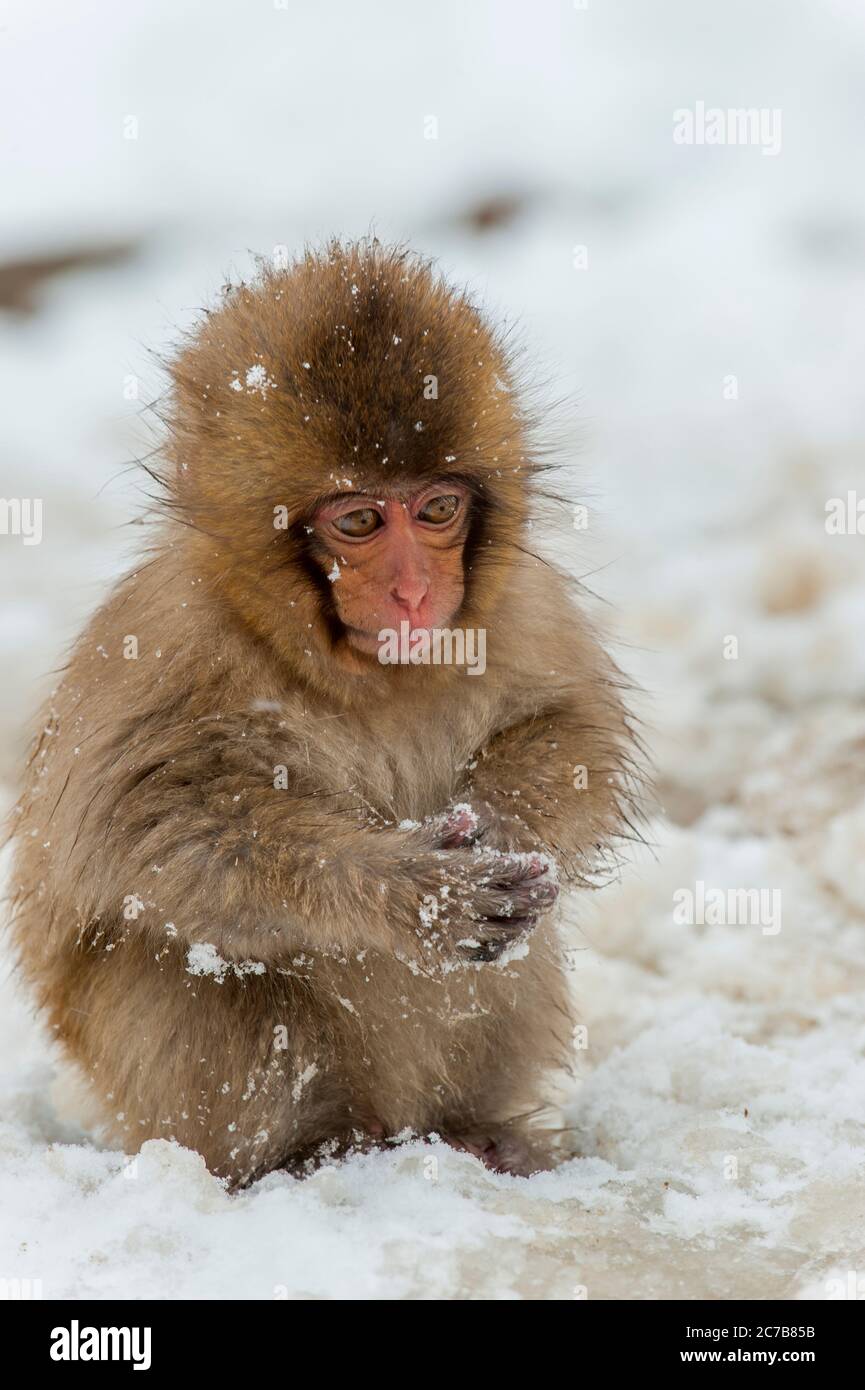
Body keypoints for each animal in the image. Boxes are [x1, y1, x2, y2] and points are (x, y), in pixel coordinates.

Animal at [8, 241, 640, 1186]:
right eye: (359, 521)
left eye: (437, 508)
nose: (414, 592)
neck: (365, 671)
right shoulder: (171, 640)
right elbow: (148, 824)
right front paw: (413, 892)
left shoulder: (521, 605)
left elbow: (570, 730)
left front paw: (499, 820)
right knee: (174, 957)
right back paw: (308, 1151)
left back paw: (480, 1136)